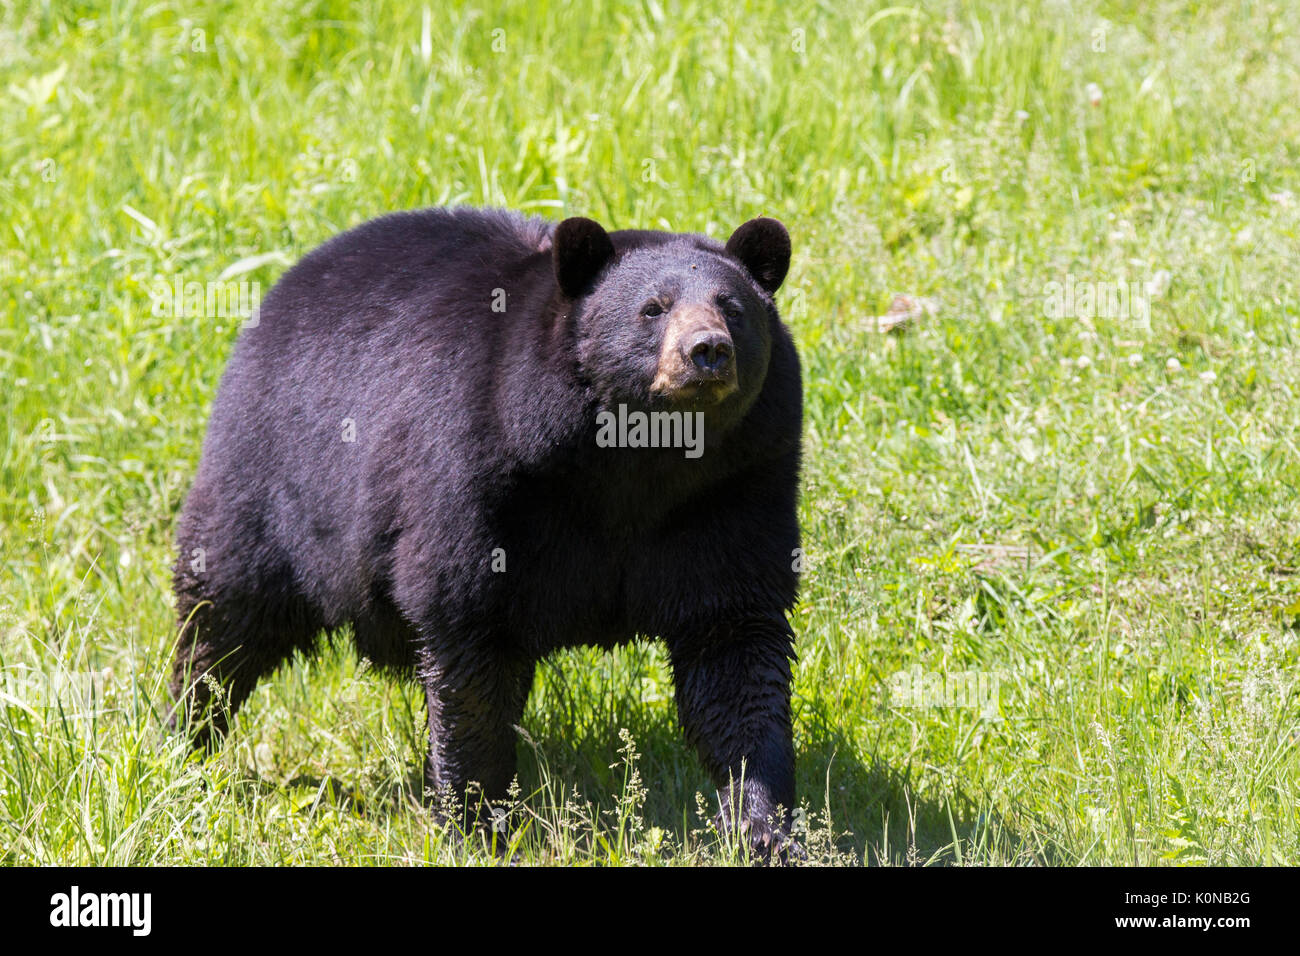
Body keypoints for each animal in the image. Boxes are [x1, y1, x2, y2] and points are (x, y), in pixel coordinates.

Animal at [169, 207, 803, 858]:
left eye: (733, 307)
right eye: (652, 308)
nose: (708, 351)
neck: (639, 463)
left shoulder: (735, 490)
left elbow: (734, 648)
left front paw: (765, 827)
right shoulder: (481, 469)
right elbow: (467, 633)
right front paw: (478, 823)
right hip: (271, 484)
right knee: (225, 617)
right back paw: (186, 739)